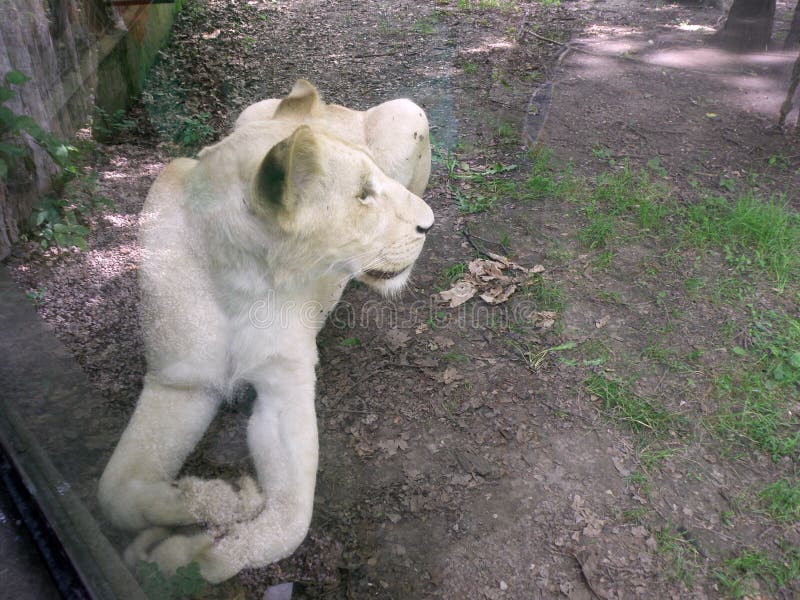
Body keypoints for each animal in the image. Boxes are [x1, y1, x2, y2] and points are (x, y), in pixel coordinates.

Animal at [97, 80, 434, 583]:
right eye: (361, 194)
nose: (430, 223)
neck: (241, 285)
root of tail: (339, 106)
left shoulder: (285, 383)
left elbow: (289, 522)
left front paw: (190, 553)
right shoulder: (180, 382)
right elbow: (113, 490)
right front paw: (211, 501)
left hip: (408, 111)